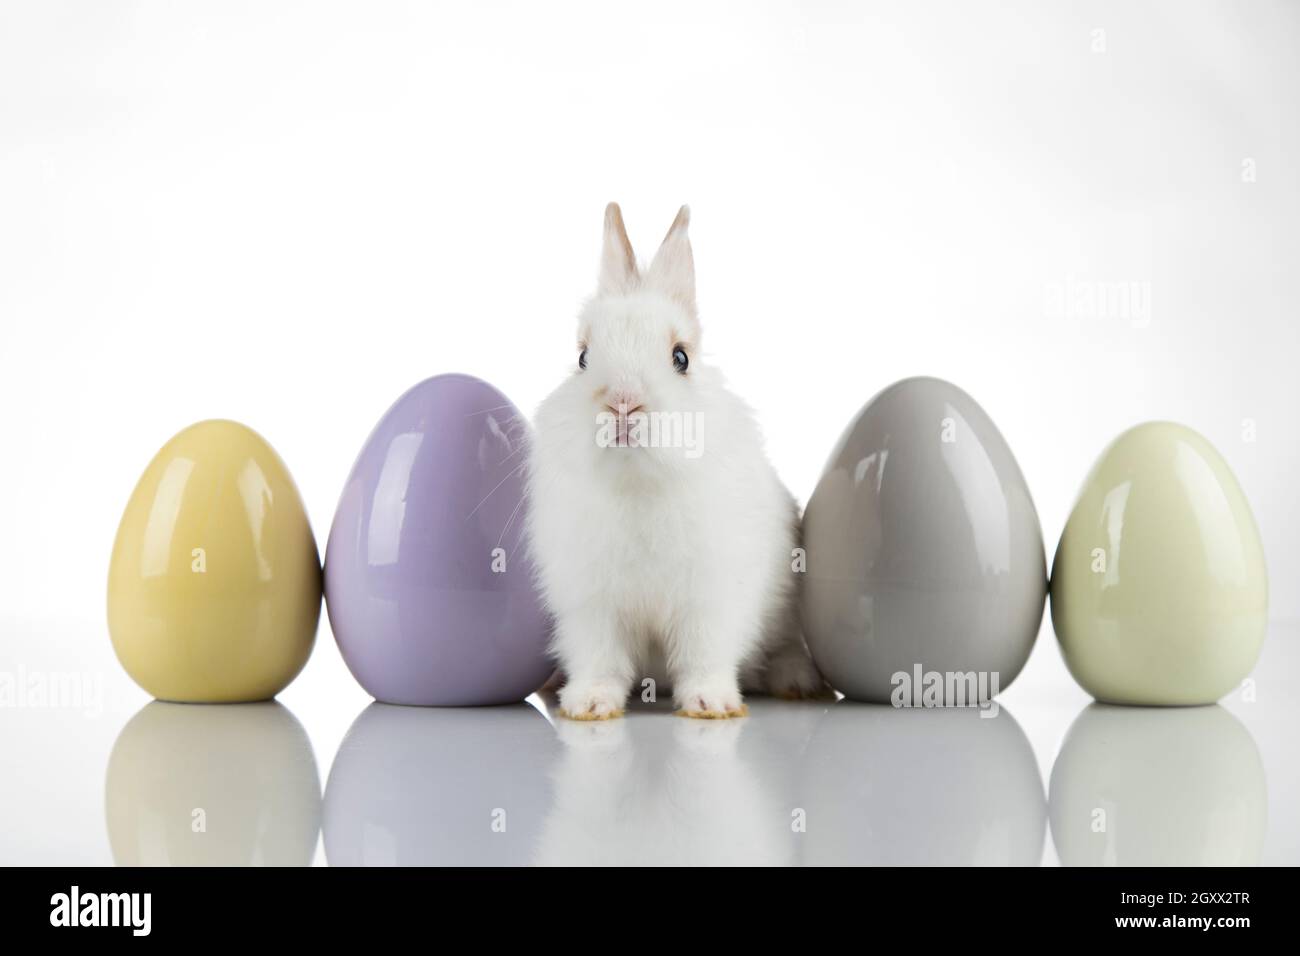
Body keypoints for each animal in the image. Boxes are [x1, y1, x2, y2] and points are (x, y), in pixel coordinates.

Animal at [525, 203, 828, 719]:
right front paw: (589, 705)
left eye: (680, 357)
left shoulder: (709, 601)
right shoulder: (591, 608)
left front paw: (710, 704)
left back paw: (797, 682)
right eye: (583, 357)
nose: (622, 404)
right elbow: (601, 658)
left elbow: (702, 654)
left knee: (784, 646)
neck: (638, 485)